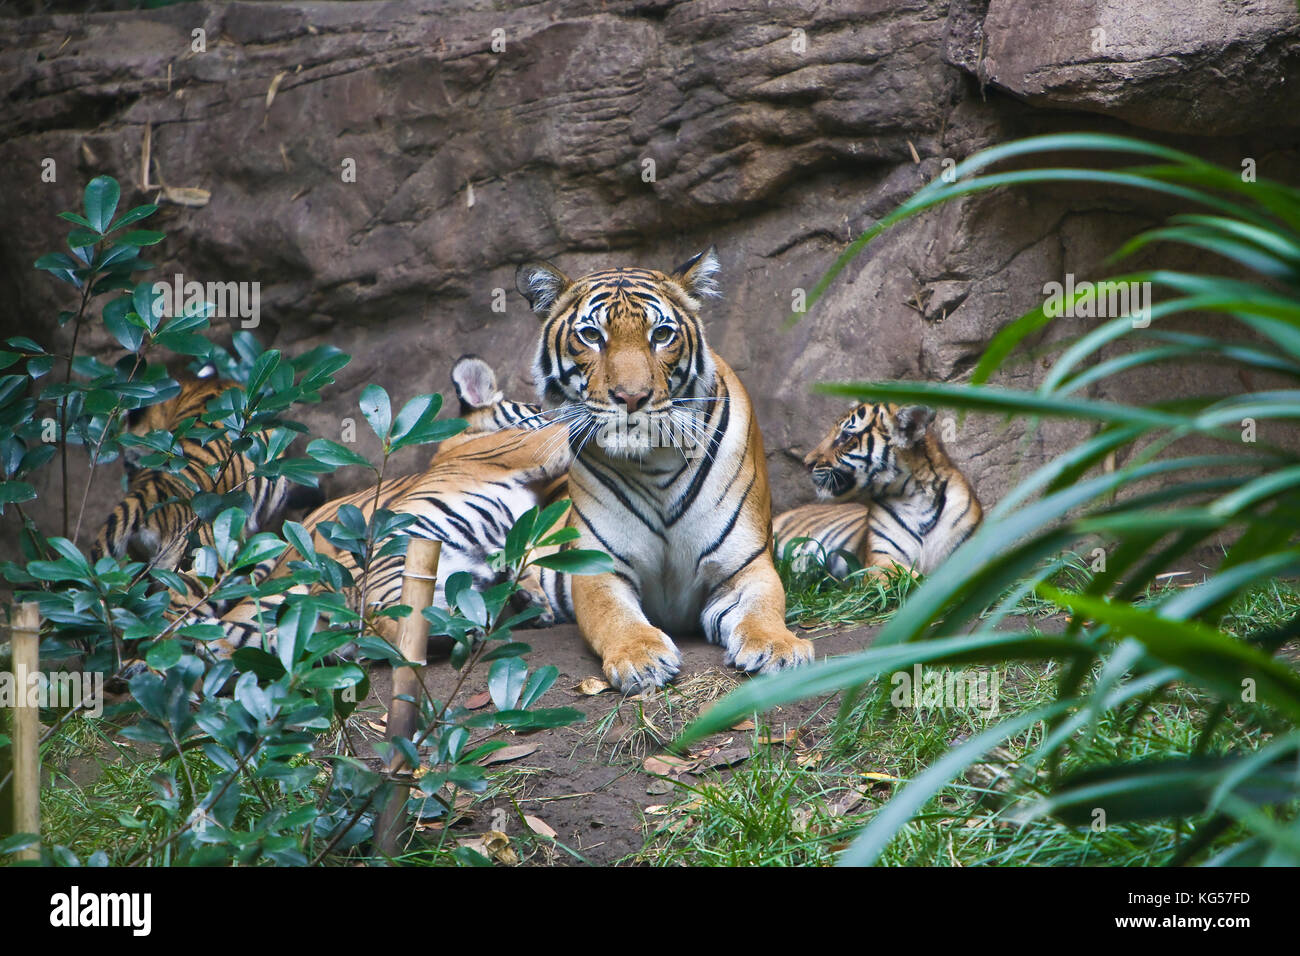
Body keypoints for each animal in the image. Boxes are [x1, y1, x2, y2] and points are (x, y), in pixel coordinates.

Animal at [517, 248, 814, 693]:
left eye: (661, 335)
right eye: (591, 336)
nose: (631, 397)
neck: (654, 463)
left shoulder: (745, 565)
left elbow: (762, 608)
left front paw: (779, 649)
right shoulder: (599, 568)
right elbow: (613, 616)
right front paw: (641, 658)